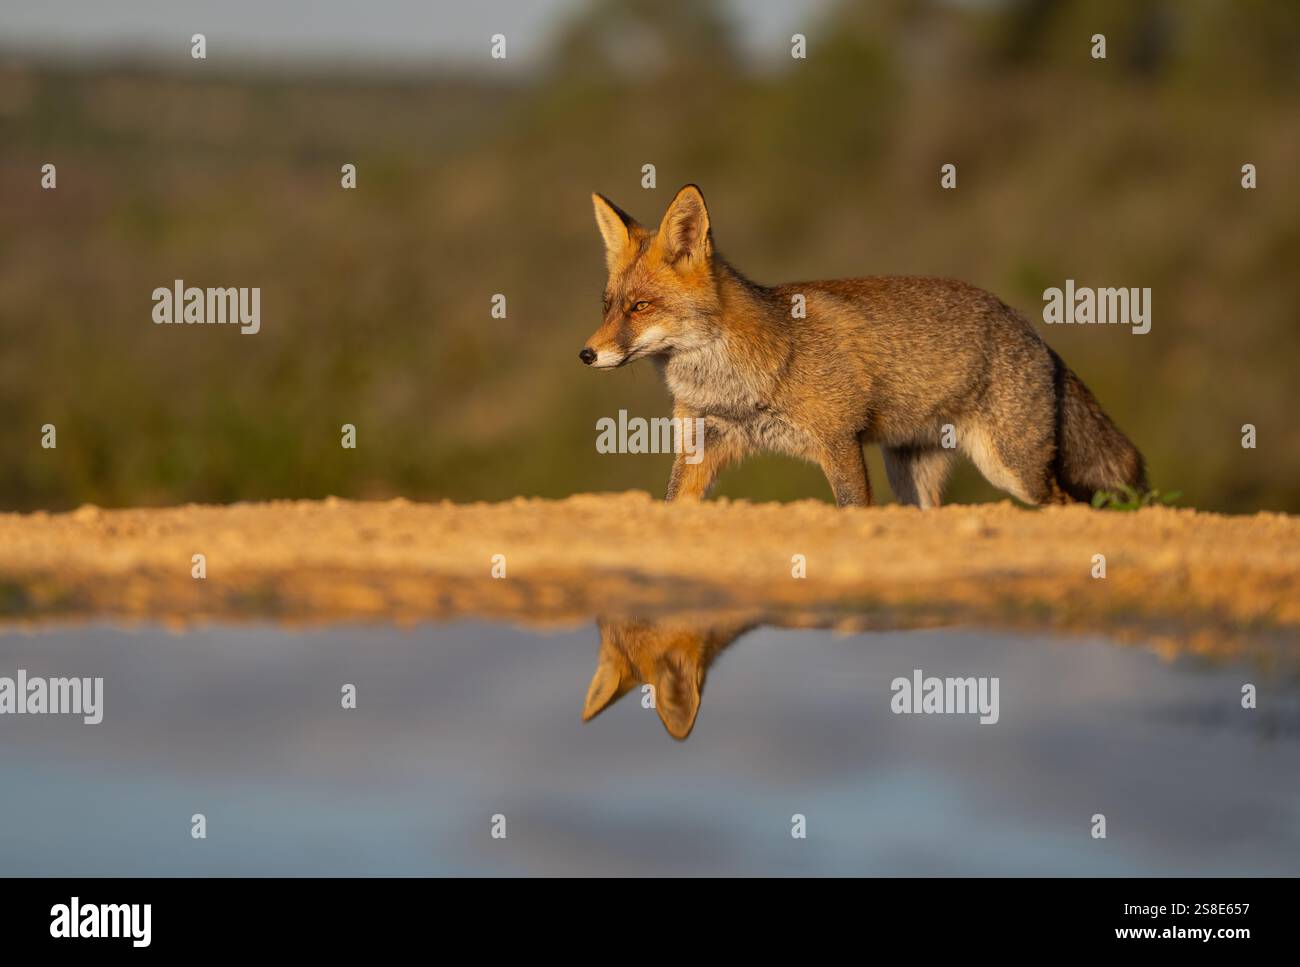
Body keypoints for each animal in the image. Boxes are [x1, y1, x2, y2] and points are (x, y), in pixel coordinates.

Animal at [579, 184, 1146, 508]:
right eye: (607, 305)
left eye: (641, 307)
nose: (587, 355)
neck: (733, 385)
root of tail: (1032, 331)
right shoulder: (702, 447)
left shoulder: (839, 442)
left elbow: (852, 510)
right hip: (912, 475)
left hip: (1015, 470)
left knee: (1067, 504)